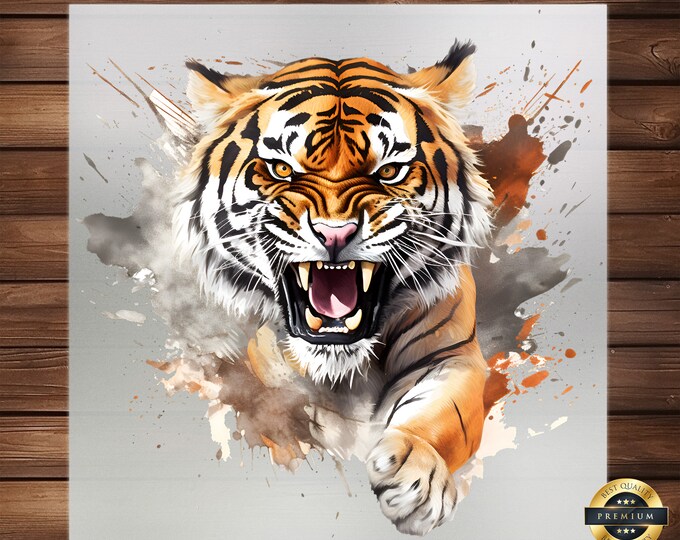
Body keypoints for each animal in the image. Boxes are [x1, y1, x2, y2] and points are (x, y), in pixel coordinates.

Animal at [173, 41, 492, 536]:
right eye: (280, 169)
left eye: (389, 172)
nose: (335, 233)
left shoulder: (453, 356)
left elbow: (444, 415)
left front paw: (416, 474)